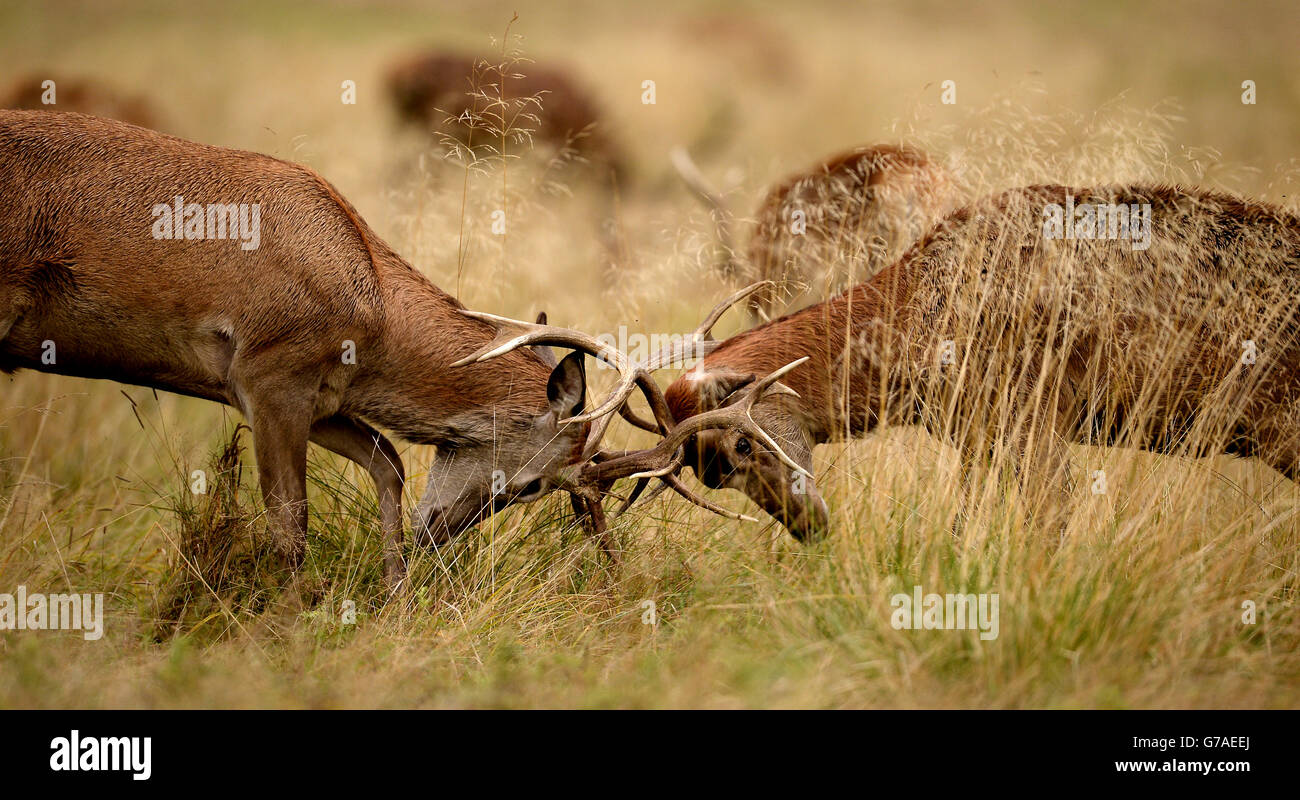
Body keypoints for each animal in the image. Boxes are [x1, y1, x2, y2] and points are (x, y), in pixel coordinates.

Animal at [0, 110, 808, 587]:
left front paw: (390, 593)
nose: (434, 540)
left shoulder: (315, 396)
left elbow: (386, 463)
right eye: (532, 485)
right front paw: (288, 624)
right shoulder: (267, 376)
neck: (369, 302)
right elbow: (290, 525)